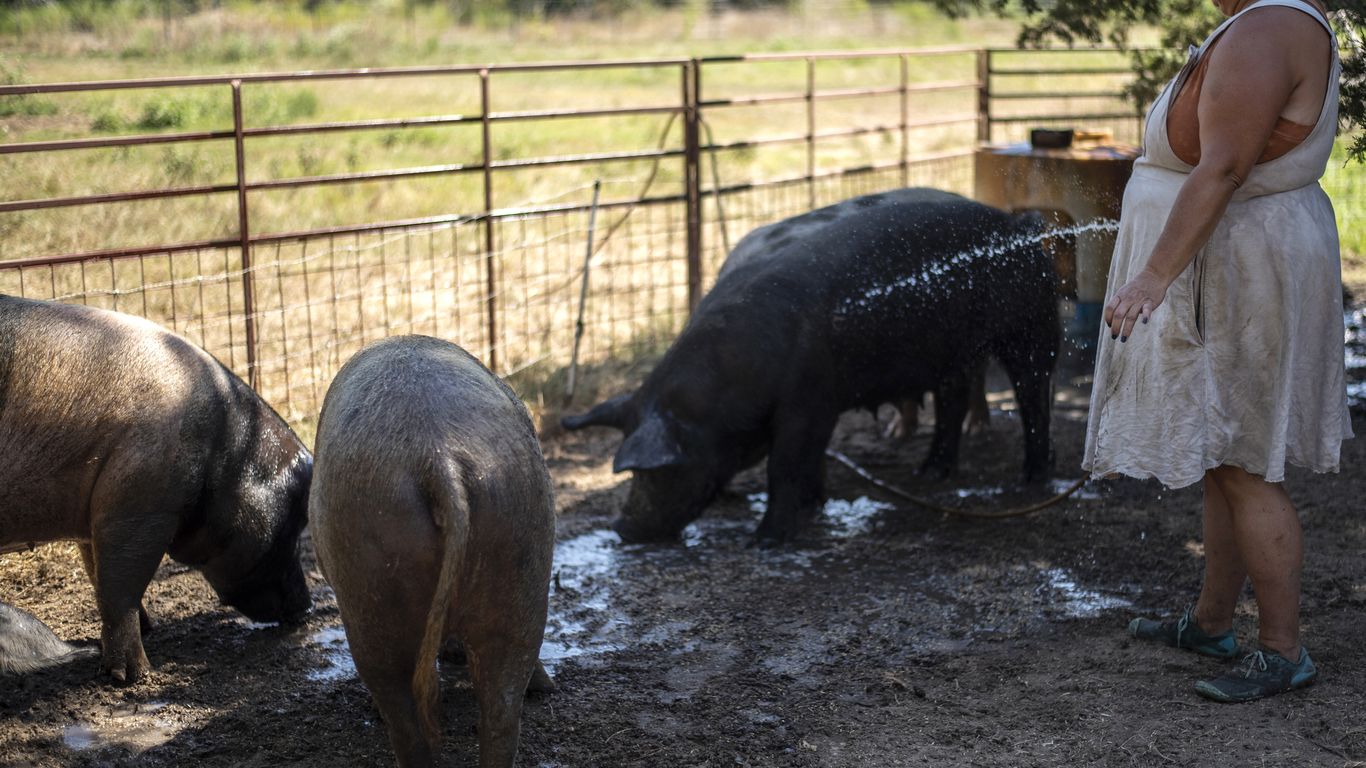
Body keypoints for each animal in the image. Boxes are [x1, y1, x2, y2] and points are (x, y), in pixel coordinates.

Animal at [0, 295, 312, 682]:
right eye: (295, 525)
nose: (308, 606)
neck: (225, 448)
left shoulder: (97, 513)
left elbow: (99, 576)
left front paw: (149, 630)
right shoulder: (142, 505)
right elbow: (120, 587)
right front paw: (133, 675)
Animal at [563, 189, 1058, 543]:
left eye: (657, 471)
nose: (622, 530)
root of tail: (1019, 223)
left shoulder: (808, 399)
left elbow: (784, 464)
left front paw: (766, 540)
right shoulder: (819, 405)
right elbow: (810, 458)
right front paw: (814, 507)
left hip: (1031, 325)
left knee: (1033, 394)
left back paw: (1033, 481)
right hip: (953, 349)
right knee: (952, 402)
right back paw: (931, 473)